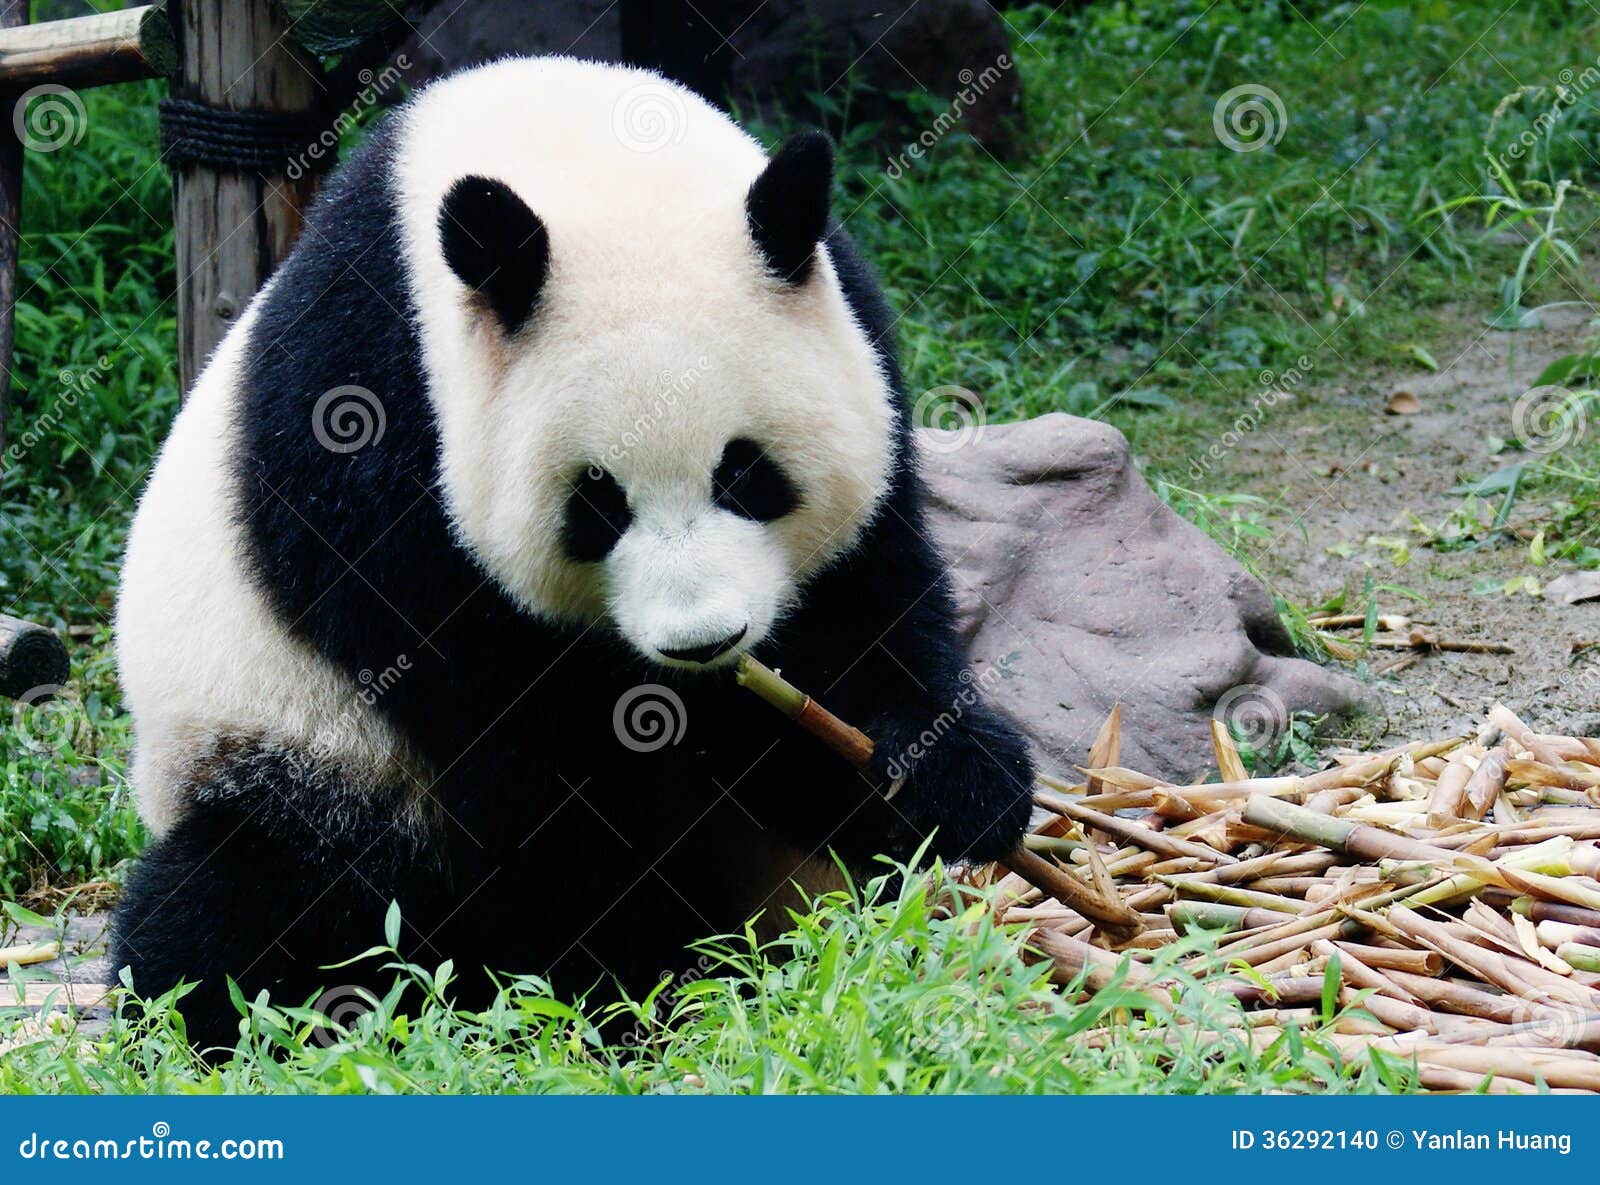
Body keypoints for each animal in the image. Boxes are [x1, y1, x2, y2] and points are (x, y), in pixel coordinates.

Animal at [110, 57, 1034, 1049]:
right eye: (597, 502)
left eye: (747, 473)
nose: (704, 642)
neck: (583, 154)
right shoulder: (373, 436)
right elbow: (532, 754)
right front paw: (630, 977)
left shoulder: (860, 339)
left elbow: (869, 597)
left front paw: (947, 777)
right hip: (285, 750)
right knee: (251, 894)